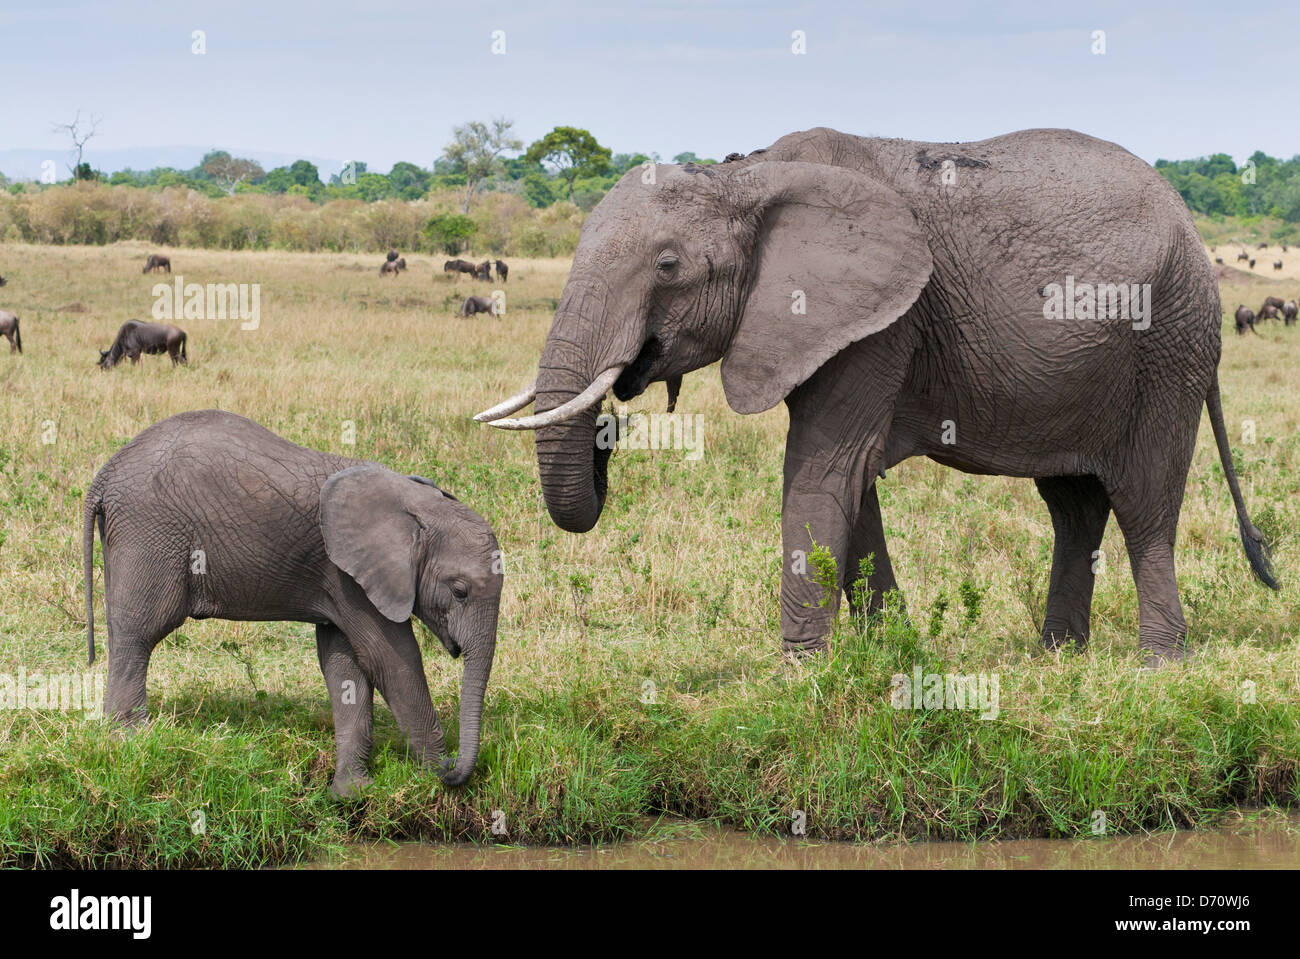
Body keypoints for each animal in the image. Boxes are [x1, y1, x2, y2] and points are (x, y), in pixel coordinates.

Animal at [82, 410, 502, 795]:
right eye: (460, 591)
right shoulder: (345, 572)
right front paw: (436, 775)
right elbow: (391, 658)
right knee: (140, 632)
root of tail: (105, 474)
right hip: (149, 531)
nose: (454, 770)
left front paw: (353, 793)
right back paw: (130, 738)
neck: (413, 501)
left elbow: (342, 662)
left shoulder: (341, 578)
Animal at [475, 126, 1278, 666]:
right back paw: (1056, 657)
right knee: (1074, 506)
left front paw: (798, 675)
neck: (748, 175)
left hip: (1170, 343)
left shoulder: (882, 323)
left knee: (1144, 502)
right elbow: (851, 485)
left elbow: (822, 470)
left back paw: (1159, 664)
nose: (609, 433)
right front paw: (892, 652)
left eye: (668, 265)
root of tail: (1190, 224)